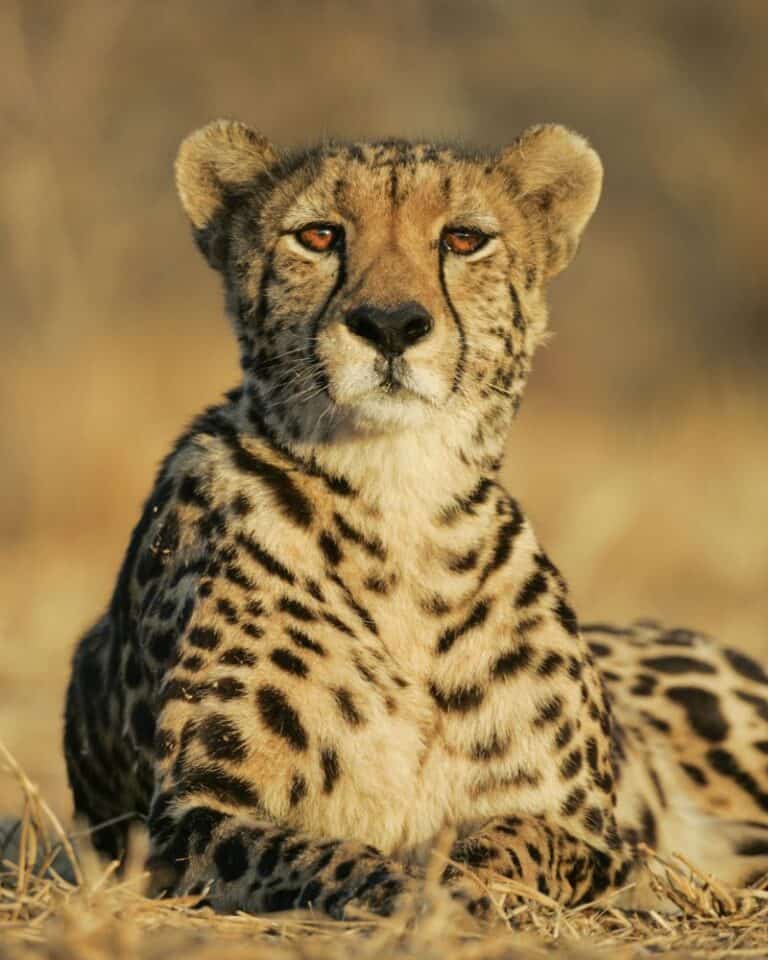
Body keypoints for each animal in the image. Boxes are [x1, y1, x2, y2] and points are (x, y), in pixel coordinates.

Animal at [61, 119, 768, 920]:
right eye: (318, 235)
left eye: (463, 239)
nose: (392, 324)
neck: (399, 501)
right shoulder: (189, 821)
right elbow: (308, 853)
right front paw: (401, 889)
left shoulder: (584, 826)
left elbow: (514, 840)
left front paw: (456, 883)